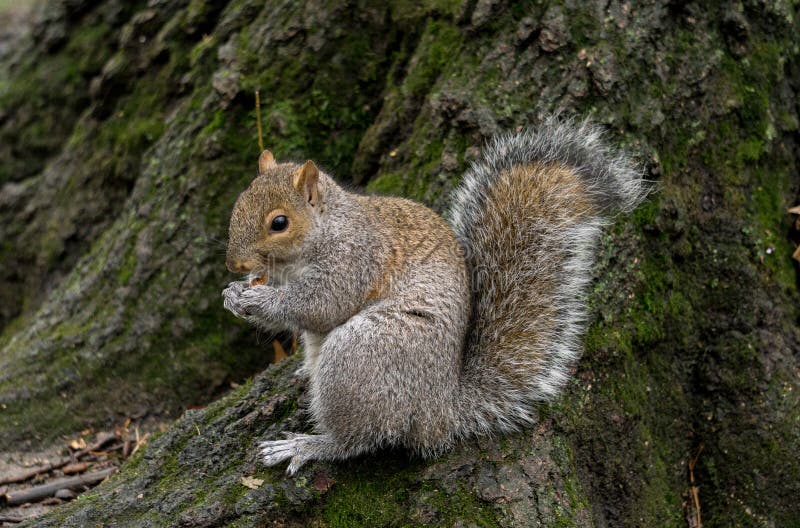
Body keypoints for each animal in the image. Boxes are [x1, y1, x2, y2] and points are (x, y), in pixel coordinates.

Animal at [222, 117, 648, 475]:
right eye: (238, 204)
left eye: (279, 223)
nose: (232, 264)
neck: (326, 230)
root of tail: (441, 409)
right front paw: (234, 293)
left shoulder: (355, 260)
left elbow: (320, 305)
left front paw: (258, 302)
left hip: (362, 356)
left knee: (356, 439)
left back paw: (311, 445)